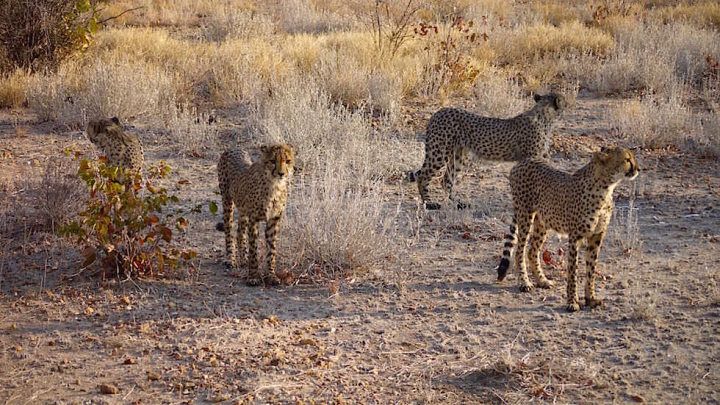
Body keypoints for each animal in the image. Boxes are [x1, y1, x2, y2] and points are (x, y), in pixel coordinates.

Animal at [217, 144, 295, 287]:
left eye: (287, 161)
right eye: (272, 161)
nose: (281, 173)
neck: (275, 186)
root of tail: (233, 148)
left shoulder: (273, 220)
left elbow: (271, 250)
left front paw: (271, 275)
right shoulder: (254, 219)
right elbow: (254, 250)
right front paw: (253, 276)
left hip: (243, 208)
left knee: (239, 232)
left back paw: (244, 259)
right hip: (227, 199)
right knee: (229, 230)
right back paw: (231, 259)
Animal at [408, 93, 566, 210]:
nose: (567, 102)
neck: (544, 116)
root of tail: (438, 112)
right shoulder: (532, 157)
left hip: (459, 155)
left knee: (446, 179)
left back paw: (459, 203)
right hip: (439, 152)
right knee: (423, 176)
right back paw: (429, 203)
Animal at [496, 146, 639, 312]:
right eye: (627, 159)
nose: (638, 169)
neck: (606, 186)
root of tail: (525, 160)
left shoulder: (597, 236)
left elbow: (591, 269)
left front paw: (591, 299)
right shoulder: (575, 236)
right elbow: (573, 271)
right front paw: (572, 302)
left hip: (542, 222)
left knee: (532, 251)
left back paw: (542, 280)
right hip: (525, 215)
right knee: (520, 250)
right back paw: (525, 283)